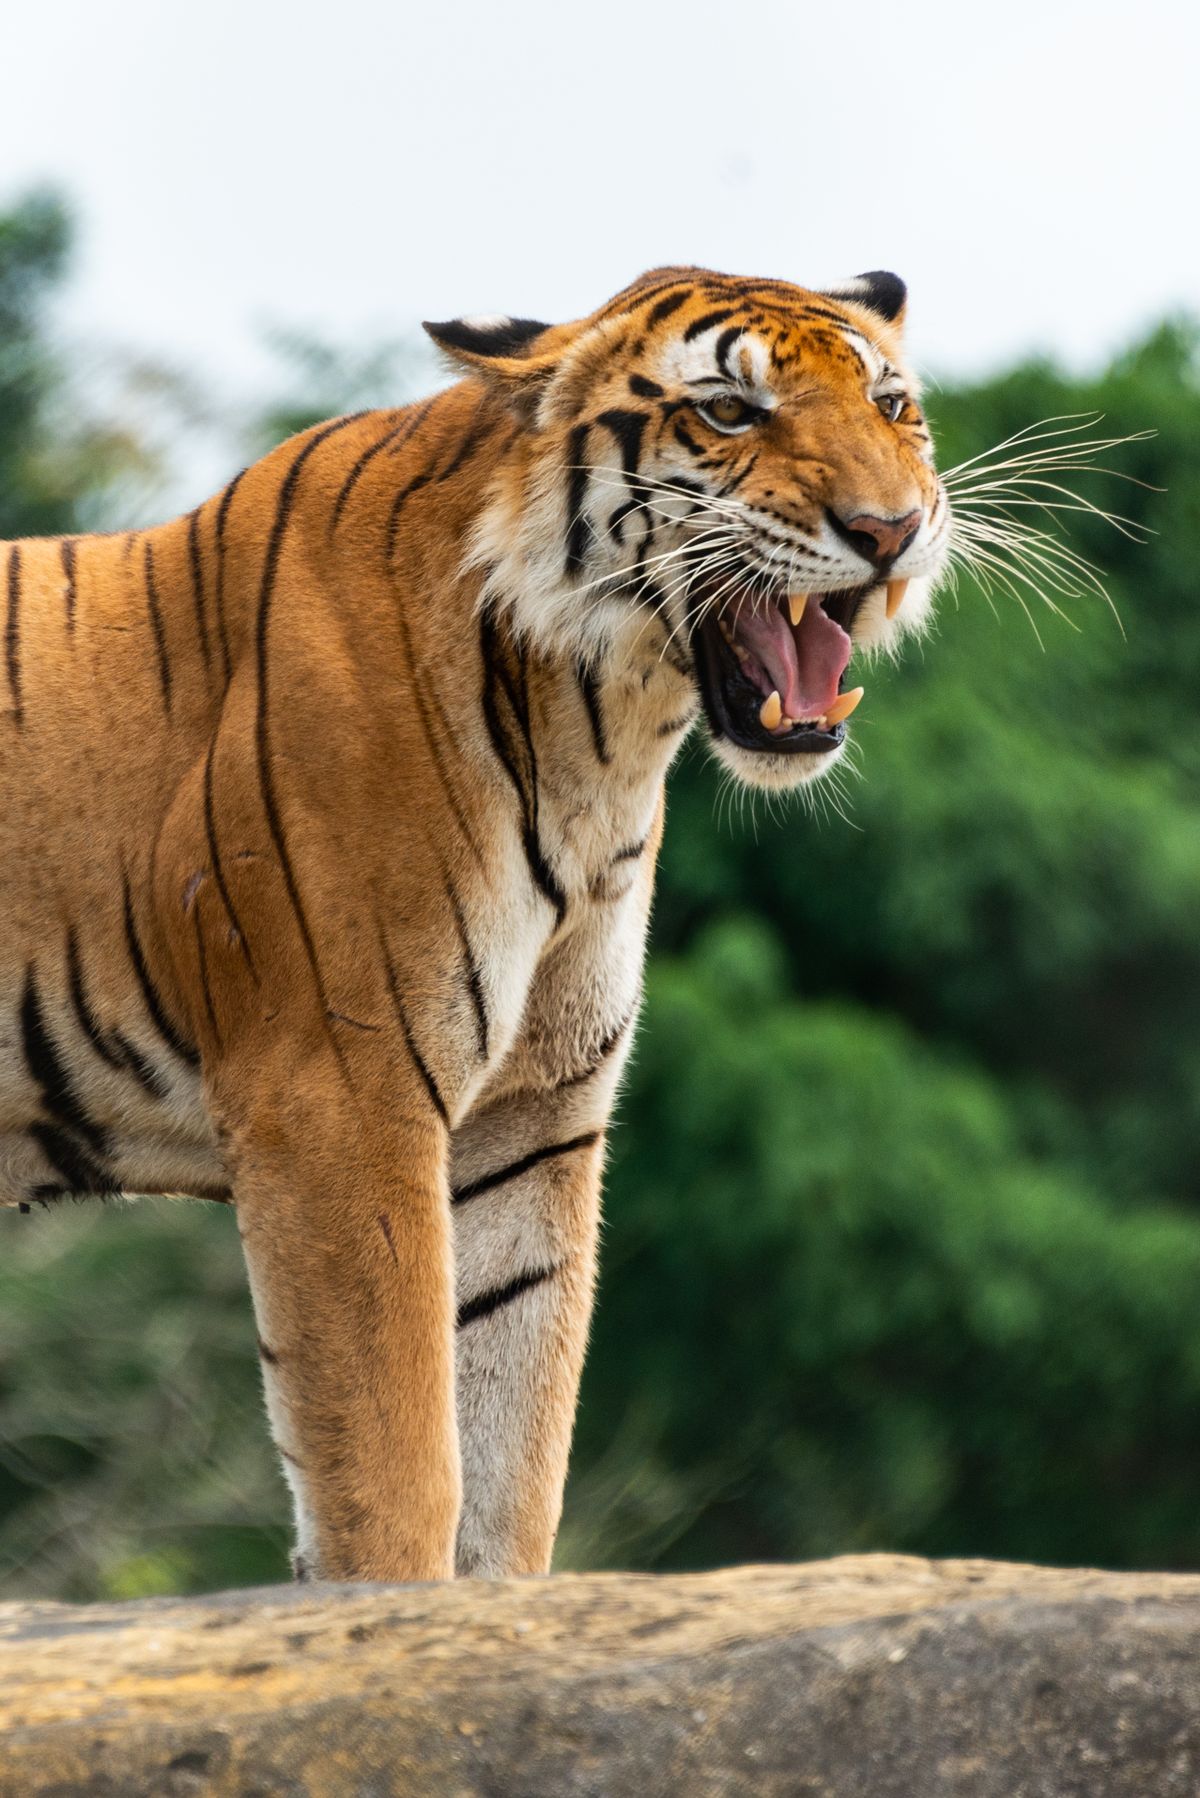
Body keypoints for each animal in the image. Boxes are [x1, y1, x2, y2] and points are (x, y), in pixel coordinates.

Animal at [0, 265, 949, 1582]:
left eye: (893, 405)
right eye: (728, 412)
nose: (894, 529)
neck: (600, 739)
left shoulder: (531, 1118)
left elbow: (511, 1458)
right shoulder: (339, 1100)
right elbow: (397, 1470)